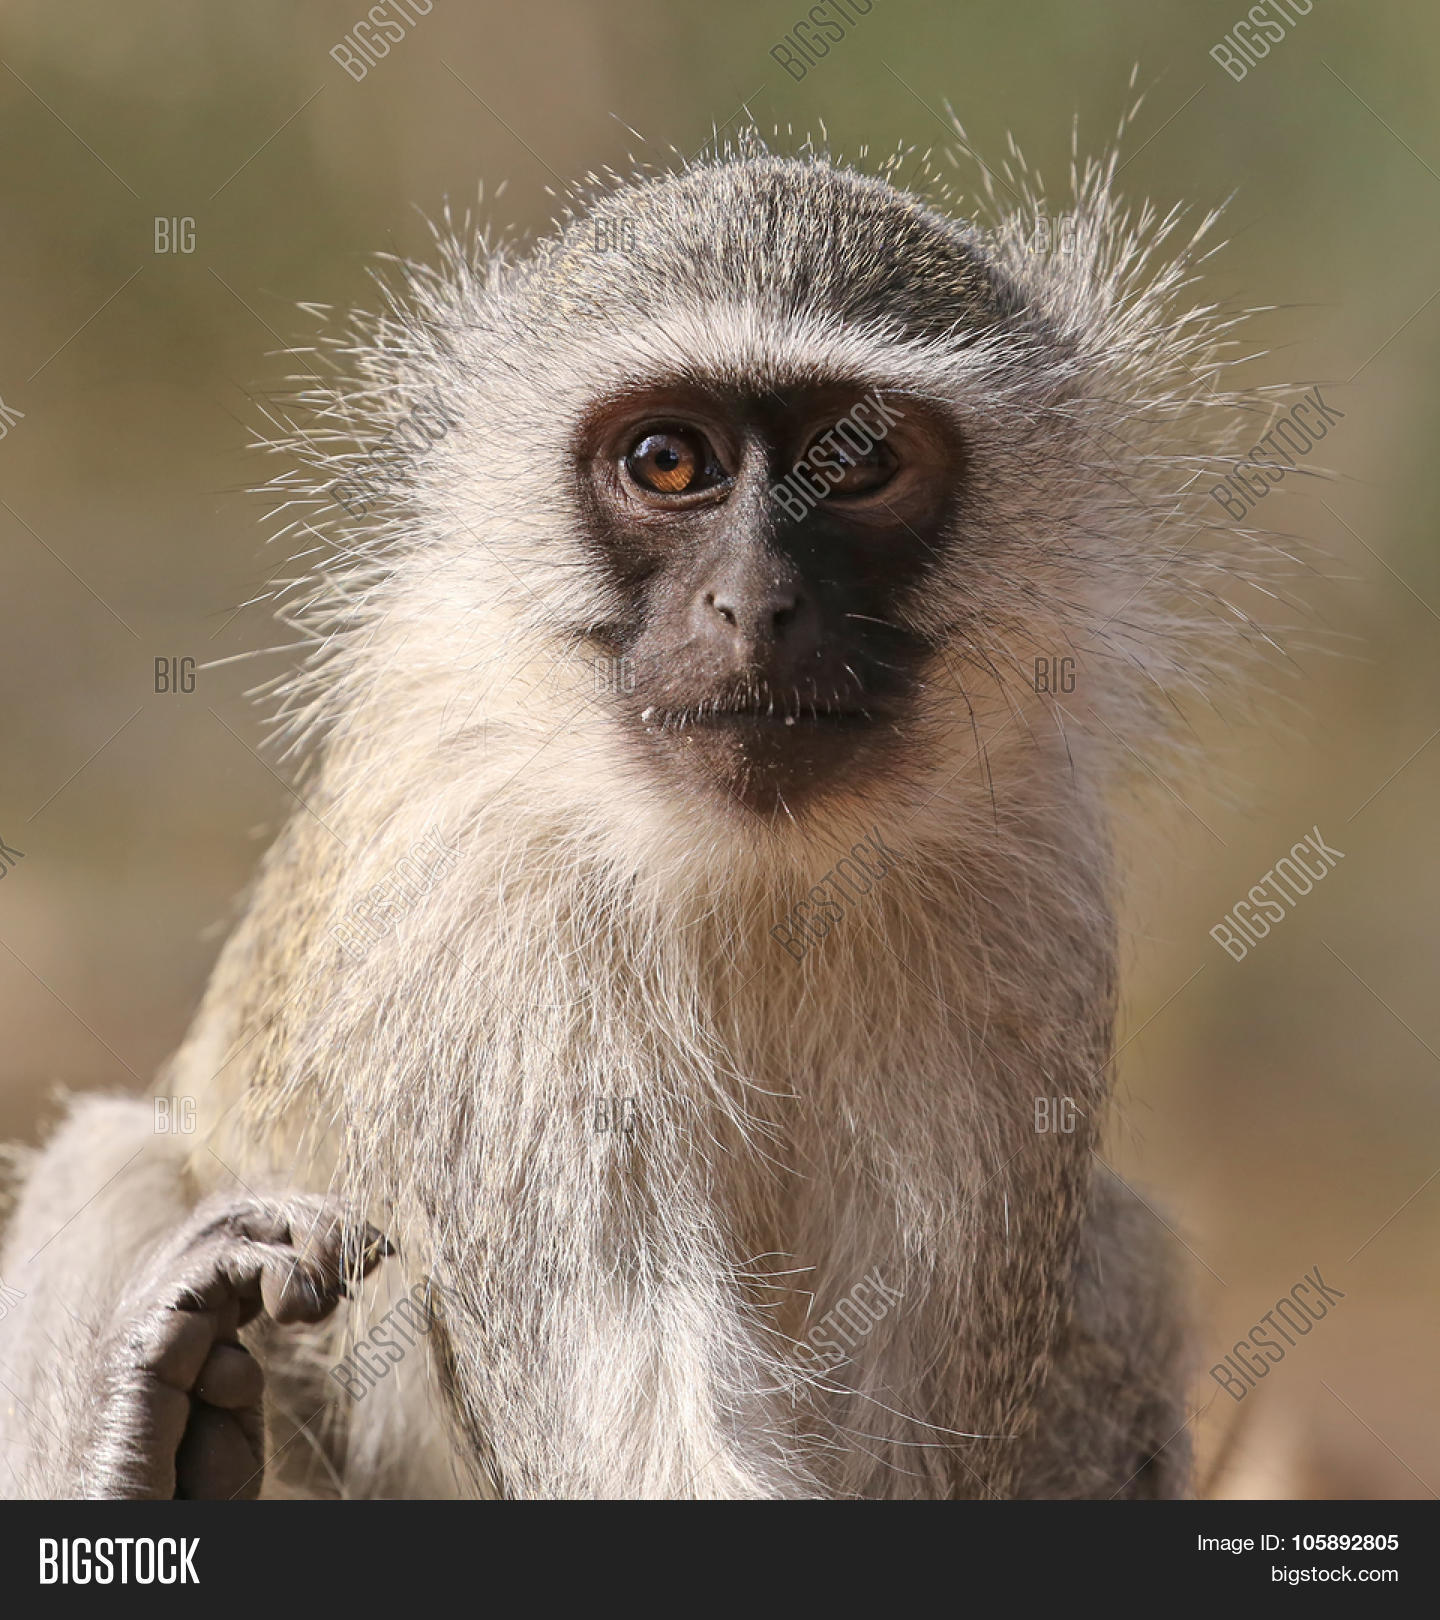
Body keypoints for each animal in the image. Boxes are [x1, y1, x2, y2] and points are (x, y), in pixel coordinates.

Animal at [0, 129, 1278, 1499]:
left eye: (859, 461)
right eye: (670, 462)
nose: (755, 603)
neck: (756, 878)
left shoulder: (1029, 905)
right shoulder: (494, 913)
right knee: (118, 1158)